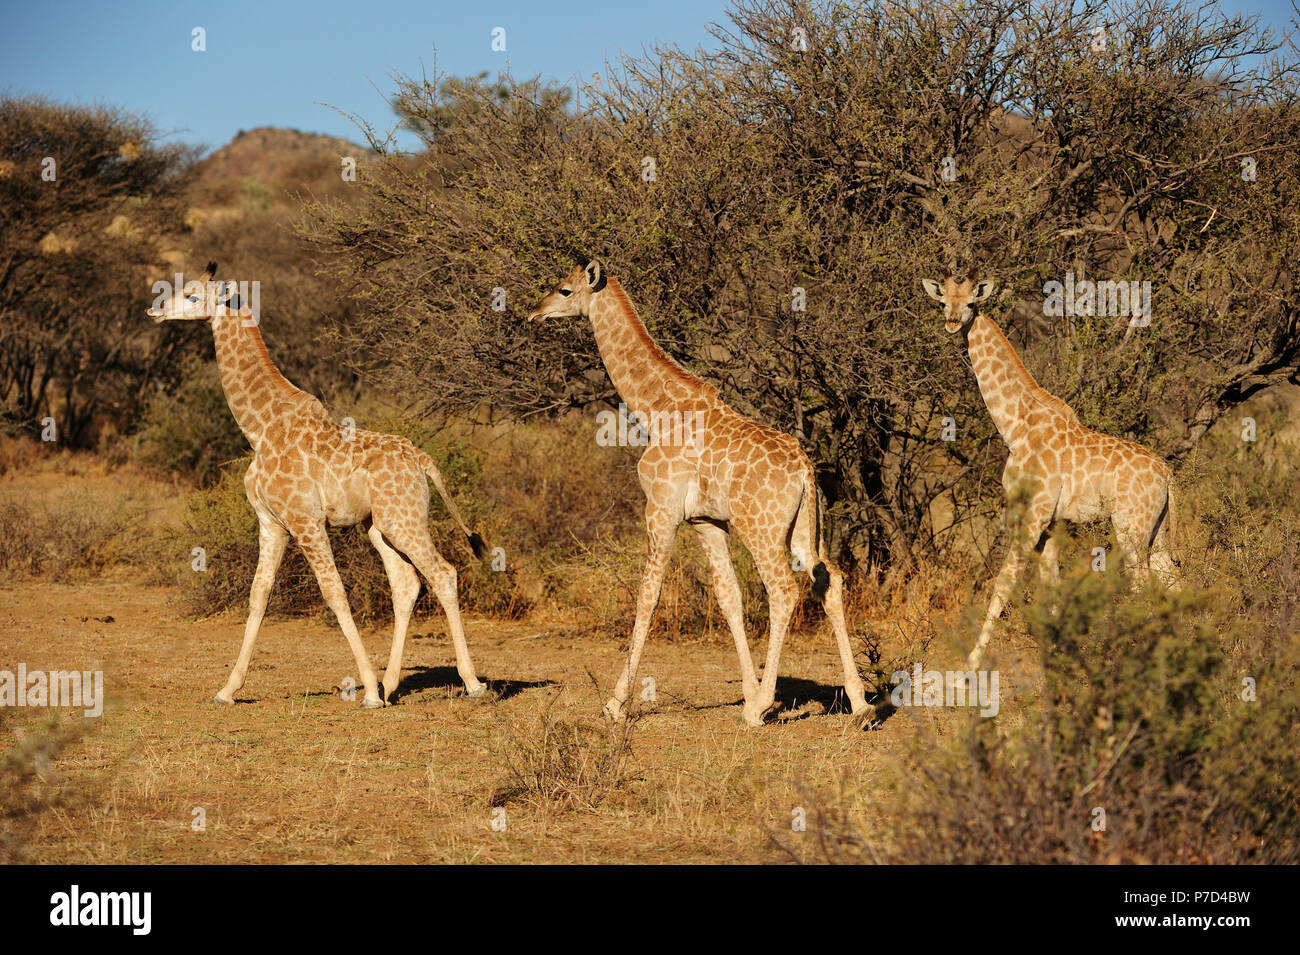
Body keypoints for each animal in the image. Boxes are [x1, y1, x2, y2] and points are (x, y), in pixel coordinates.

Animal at [148, 262, 487, 707]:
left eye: (190, 295)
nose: (154, 309)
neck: (260, 428)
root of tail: (422, 459)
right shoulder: (271, 522)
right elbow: (258, 595)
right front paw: (227, 690)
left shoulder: (305, 520)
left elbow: (334, 592)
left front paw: (369, 691)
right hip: (380, 526)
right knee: (407, 583)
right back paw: (394, 685)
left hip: (405, 520)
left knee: (443, 574)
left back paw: (471, 683)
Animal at [528, 259, 869, 727]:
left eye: (564, 290)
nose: (534, 313)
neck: (656, 410)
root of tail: (804, 469)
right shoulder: (706, 521)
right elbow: (729, 597)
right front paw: (747, 690)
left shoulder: (661, 510)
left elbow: (648, 596)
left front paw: (616, 704)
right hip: (804, 527)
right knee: (829, 580)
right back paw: (860, 703)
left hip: (761, 528)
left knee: (783, 590)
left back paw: (762, 708)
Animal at [921, 275, 1179, 668]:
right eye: (942, 302)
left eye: (969, 304)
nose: (951, 322)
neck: (1015, 427)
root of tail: (1167, 473)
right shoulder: (1054, 522)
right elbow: (1052, 592)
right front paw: (1058, 661)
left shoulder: (1033, 514)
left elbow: (1003, 583)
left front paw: (971, 665)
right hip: (1158, 530)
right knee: (1176, 581)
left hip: (1130, 528)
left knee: (1142, 588)